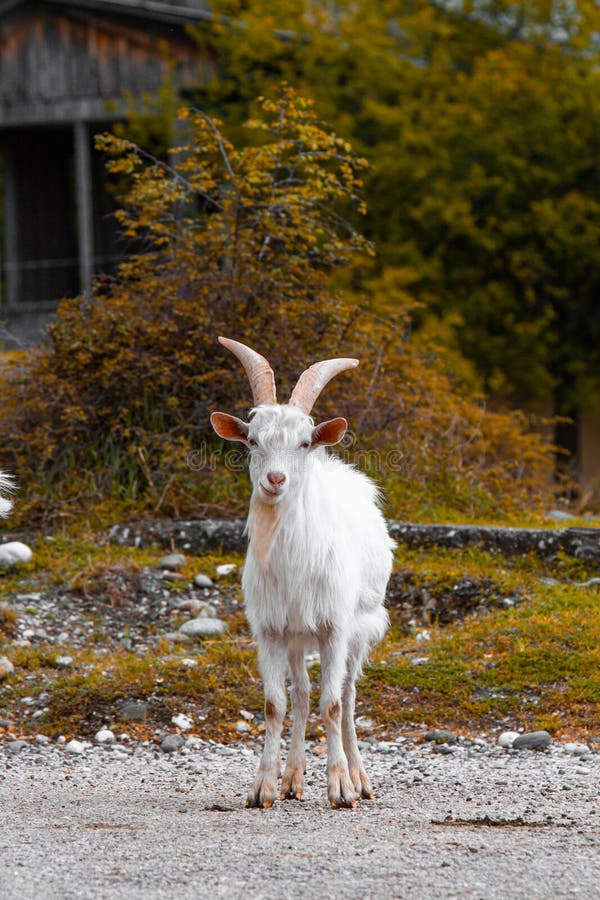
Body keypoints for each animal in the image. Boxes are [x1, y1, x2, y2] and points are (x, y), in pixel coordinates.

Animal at [210, 337, 394, 809]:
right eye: (252, 440)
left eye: (305, 441)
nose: (275, 480)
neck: (294, 562)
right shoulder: (271, 630)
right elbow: (277, 704)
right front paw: (264, 787)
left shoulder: (335, 628)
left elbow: (334, 705)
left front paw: (342, 789)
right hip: (296, 638)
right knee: (303, 695)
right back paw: (293, 778)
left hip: (362, 626)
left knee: (346, 696)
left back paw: (360, 777)